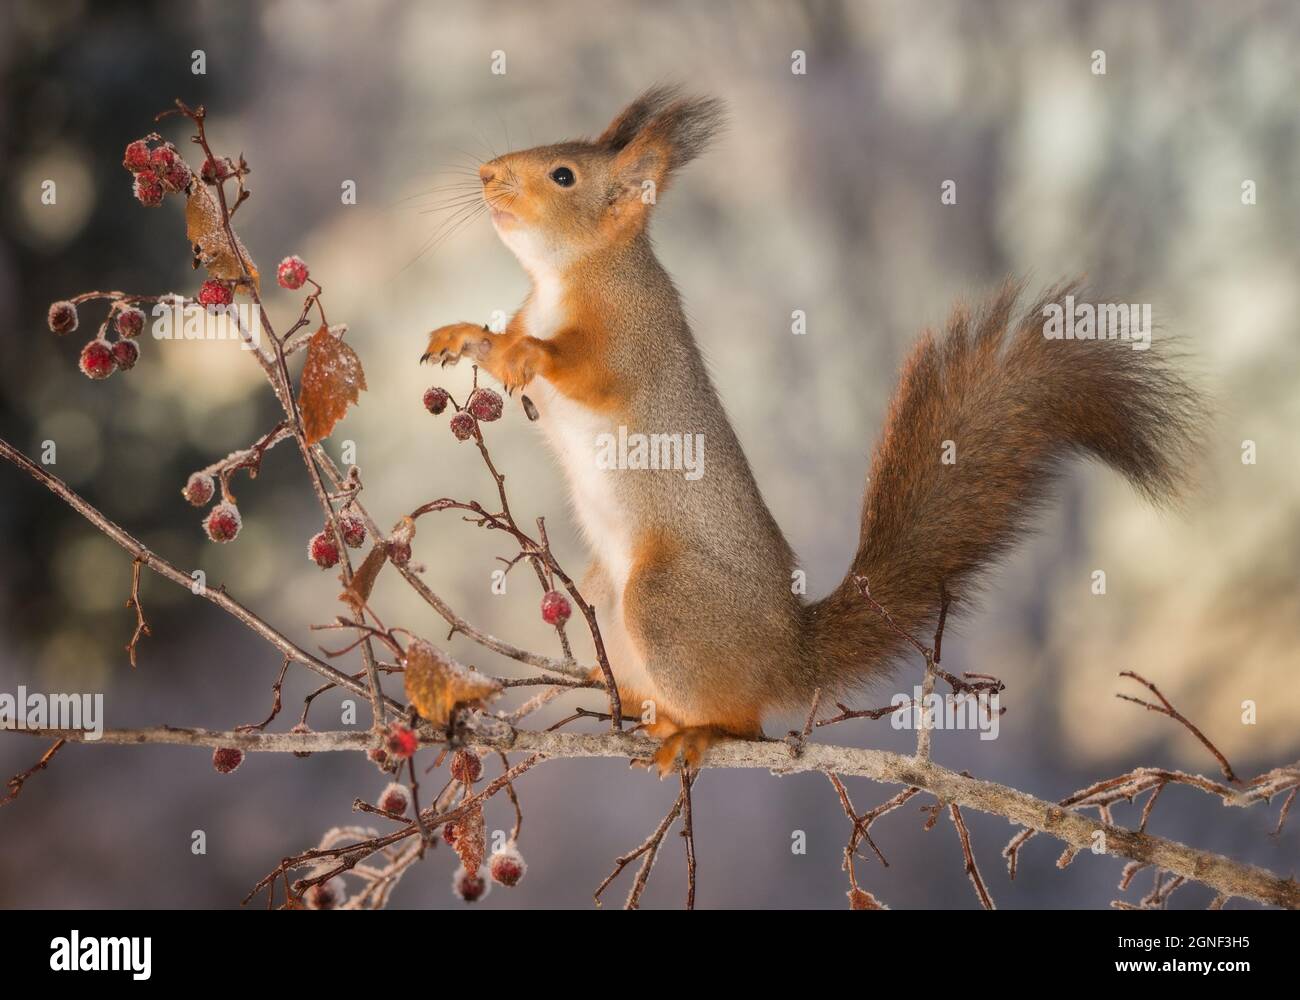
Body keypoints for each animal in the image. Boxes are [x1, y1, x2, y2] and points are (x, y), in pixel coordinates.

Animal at [422, 86, 1203, 773]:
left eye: (564, 175)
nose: (486, 174)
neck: (568, 276)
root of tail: (786, 657)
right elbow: (501, 343)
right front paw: (462, 336)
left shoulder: (632, 342)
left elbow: (584, 373)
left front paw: (528, 354)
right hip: (612, 610)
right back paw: (642, 712)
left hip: (664, 605)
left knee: (742, 721)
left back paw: (699, 733)